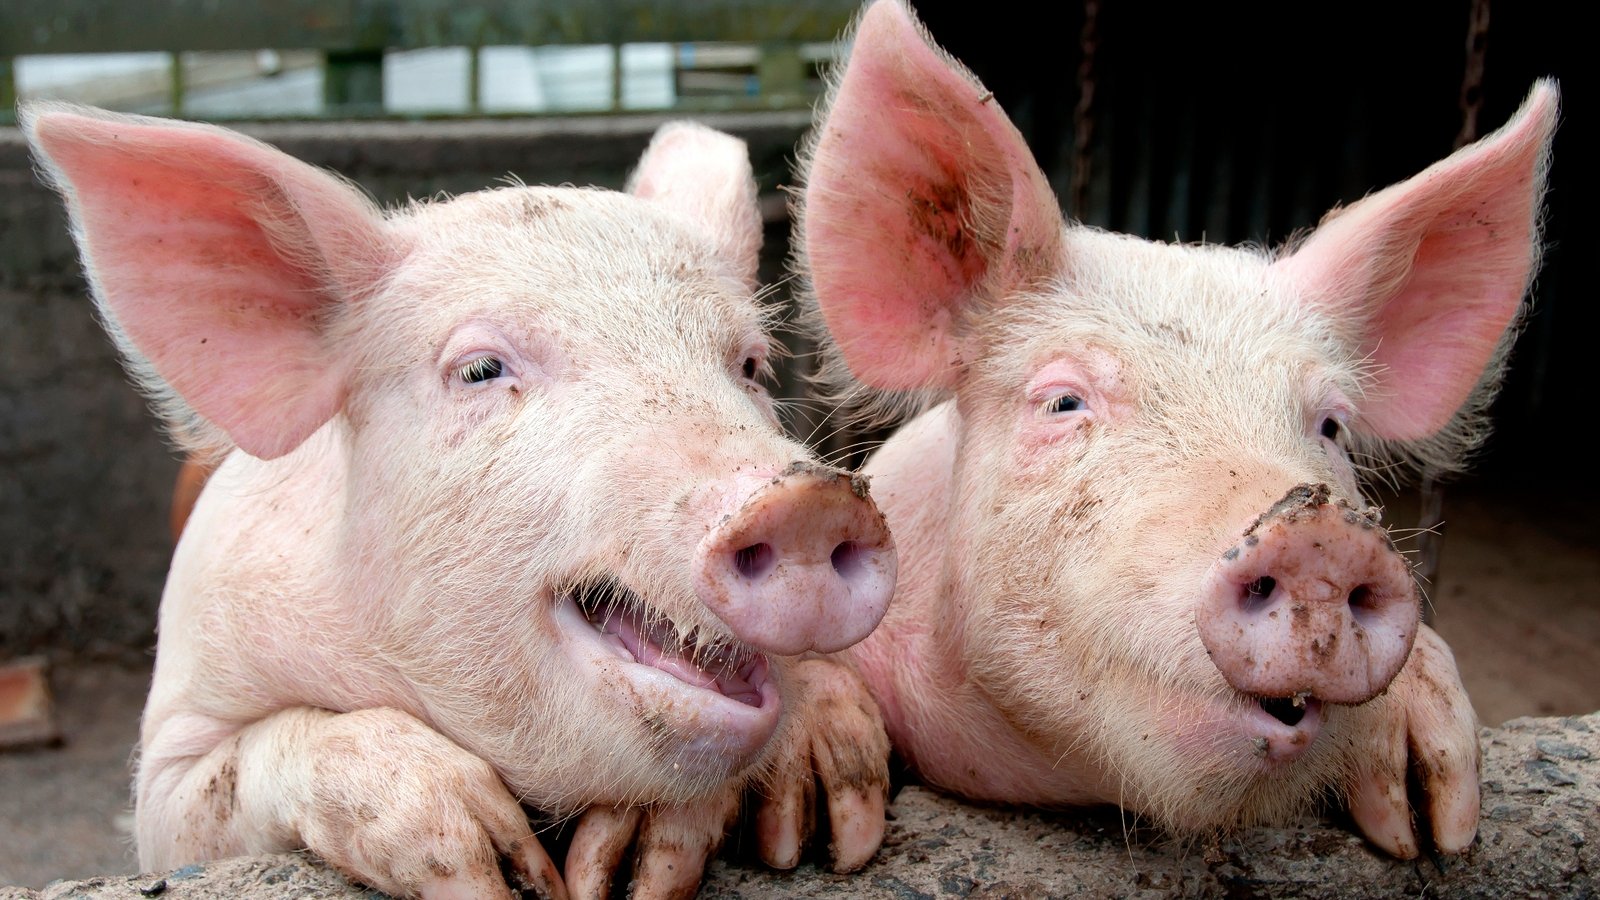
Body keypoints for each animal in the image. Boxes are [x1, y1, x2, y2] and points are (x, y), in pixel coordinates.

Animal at [23, 104, 898, 898]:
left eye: (749, 365)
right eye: (480, 369)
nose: (810, 500)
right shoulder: (173, 752)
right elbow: (224, 780)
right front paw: (500, 875)